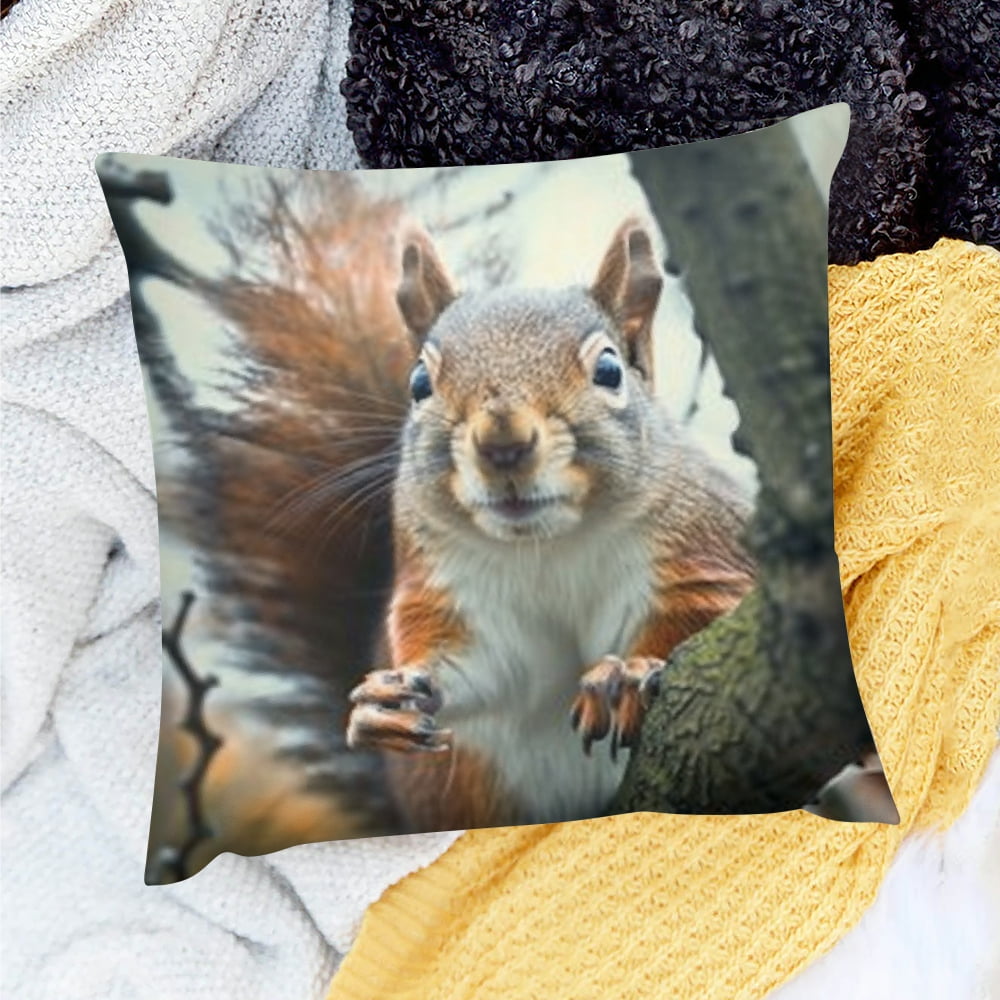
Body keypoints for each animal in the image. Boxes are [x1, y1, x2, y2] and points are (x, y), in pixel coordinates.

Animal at [343, 218, 757, 832]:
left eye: (609, 370)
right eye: (419, 382)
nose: (503, 443)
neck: (547, 544)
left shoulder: (705, 550)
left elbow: (706, 616)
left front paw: (625, 675)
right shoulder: (449, 581)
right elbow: (477, 663)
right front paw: (384, 705)